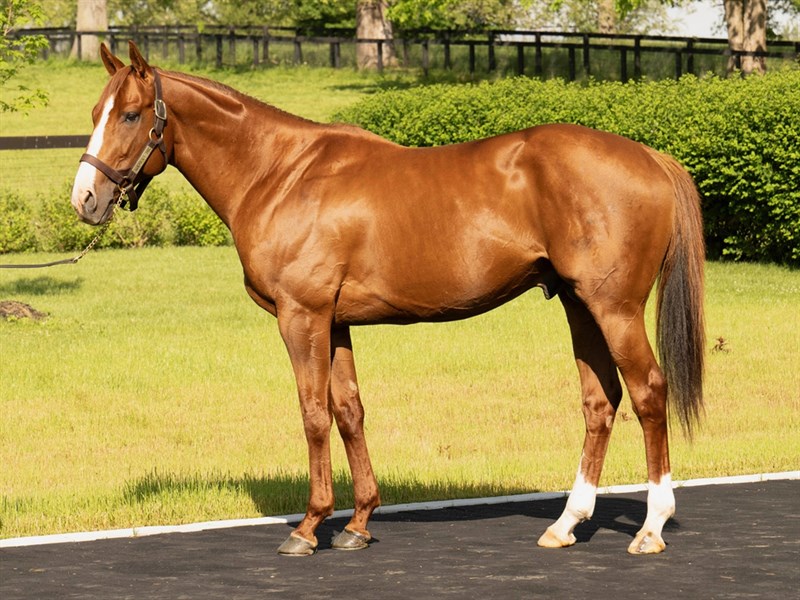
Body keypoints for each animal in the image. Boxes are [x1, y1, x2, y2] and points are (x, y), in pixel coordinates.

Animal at [72, 42, 705, 556]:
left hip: (614, 309)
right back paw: (566, 524)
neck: (281, 173)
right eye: (96, 114)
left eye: (131, 114)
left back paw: (651, 527)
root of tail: (651, 157)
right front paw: (358, 523)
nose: (85, 199)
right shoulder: (334, 323)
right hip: (580, 306)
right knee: (600, 402)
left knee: (649, 393)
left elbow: (313, 414)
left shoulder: (301, 318)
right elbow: (349, 410)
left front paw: (309, 527)